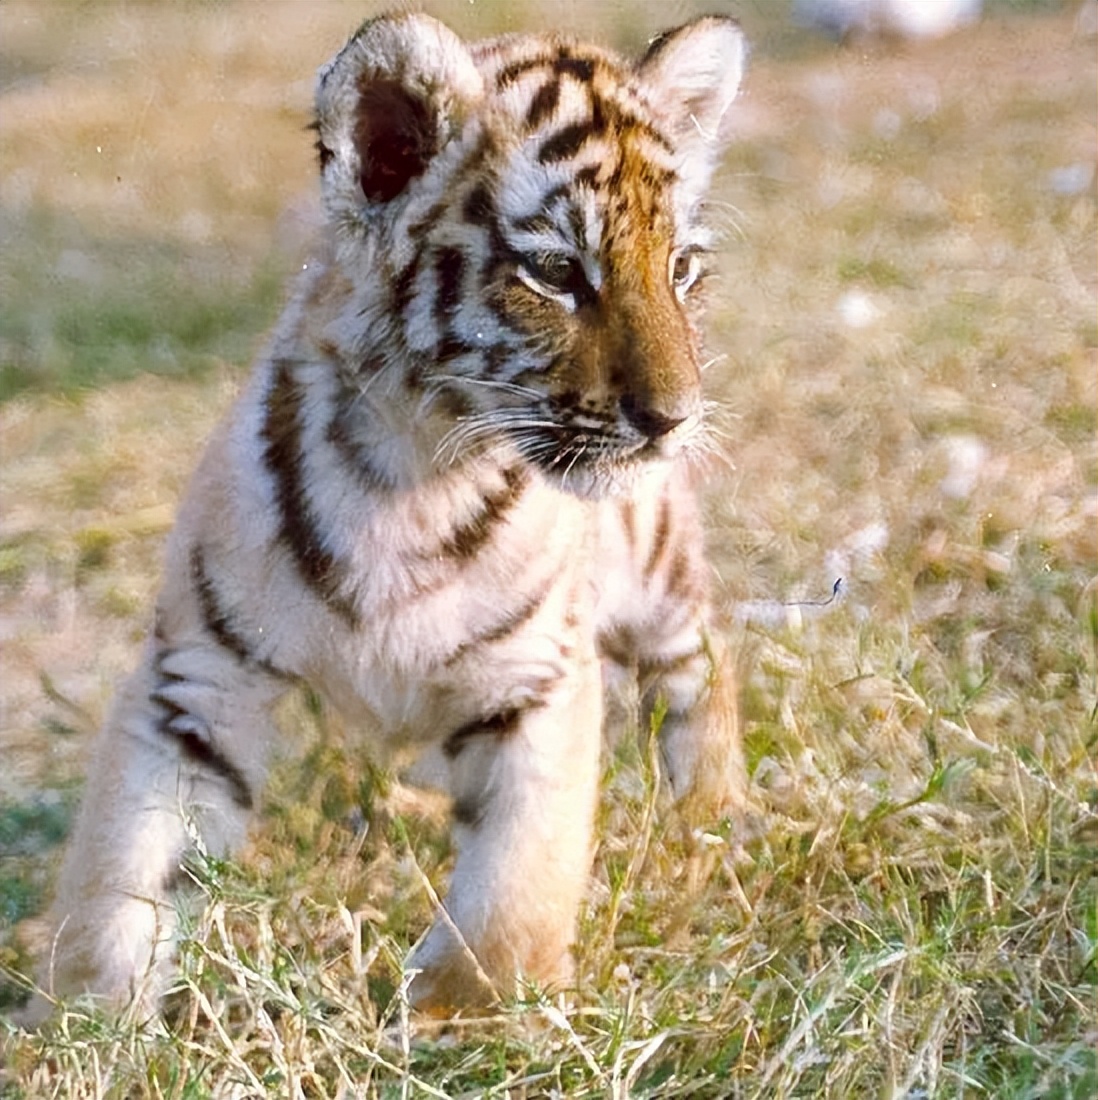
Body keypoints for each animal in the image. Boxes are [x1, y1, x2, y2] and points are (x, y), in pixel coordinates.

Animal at [32, 10, 748, 1021]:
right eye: (556, 271)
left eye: (682, 269)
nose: (675, 420)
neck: (413, 472)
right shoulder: (198, 676)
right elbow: (120, 866)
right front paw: (81, 1018)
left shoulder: (541, 678)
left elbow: (517, 876)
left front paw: (467, 1012)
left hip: (656, 577)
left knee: (697, 667)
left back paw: (712, 815)